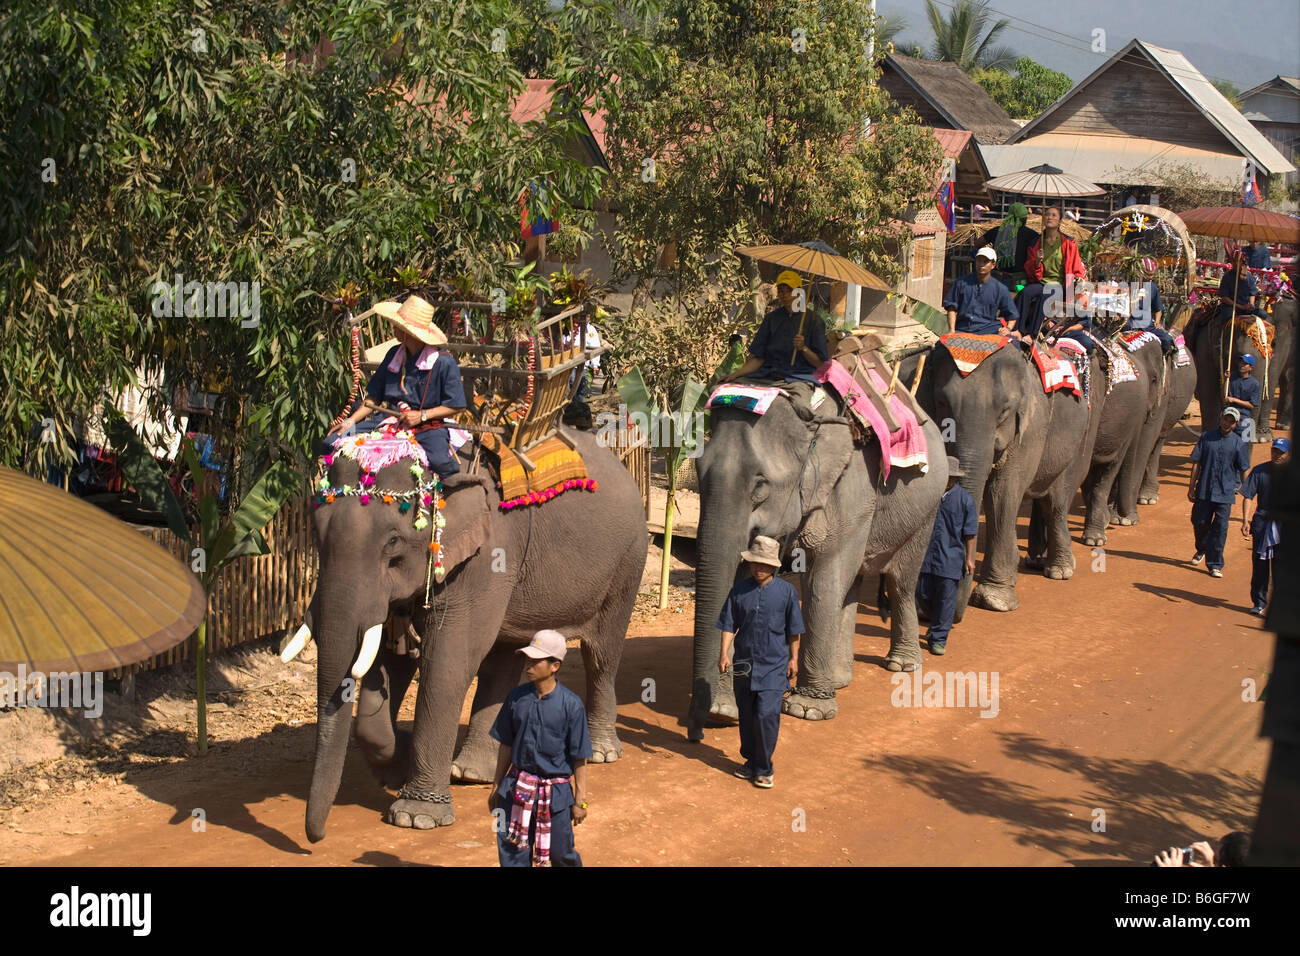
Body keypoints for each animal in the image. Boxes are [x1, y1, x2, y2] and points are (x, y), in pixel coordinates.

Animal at [292, 428, 646, 843]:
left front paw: (416, 817)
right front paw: (396, 762)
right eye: (315, 533)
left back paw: (601, 753)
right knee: (505, 657)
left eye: (393, 542)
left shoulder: (488, 553)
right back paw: (470, 772)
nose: (315, 838)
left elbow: (448, 660)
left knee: (600, 653)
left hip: (628, 561)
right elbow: (394, 655)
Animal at [688, 384, 946, 736]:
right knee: (852, 585)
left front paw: (806, 710)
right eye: (698, 474)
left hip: (926, 510)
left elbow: (824, 576)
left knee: (900, 580)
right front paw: (726, 710)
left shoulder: (852, 492)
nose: (700, 726)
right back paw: (837, 680)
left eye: (760, 483)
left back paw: (901, 664)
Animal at [915, 341, 1098, 612]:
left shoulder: (1031, 430)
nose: (928, 611)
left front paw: (994, 600)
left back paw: (1060, 570)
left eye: (1004, 411)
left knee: (1055, 501)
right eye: (942, 402)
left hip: (1077, 441)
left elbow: (1002, 492)